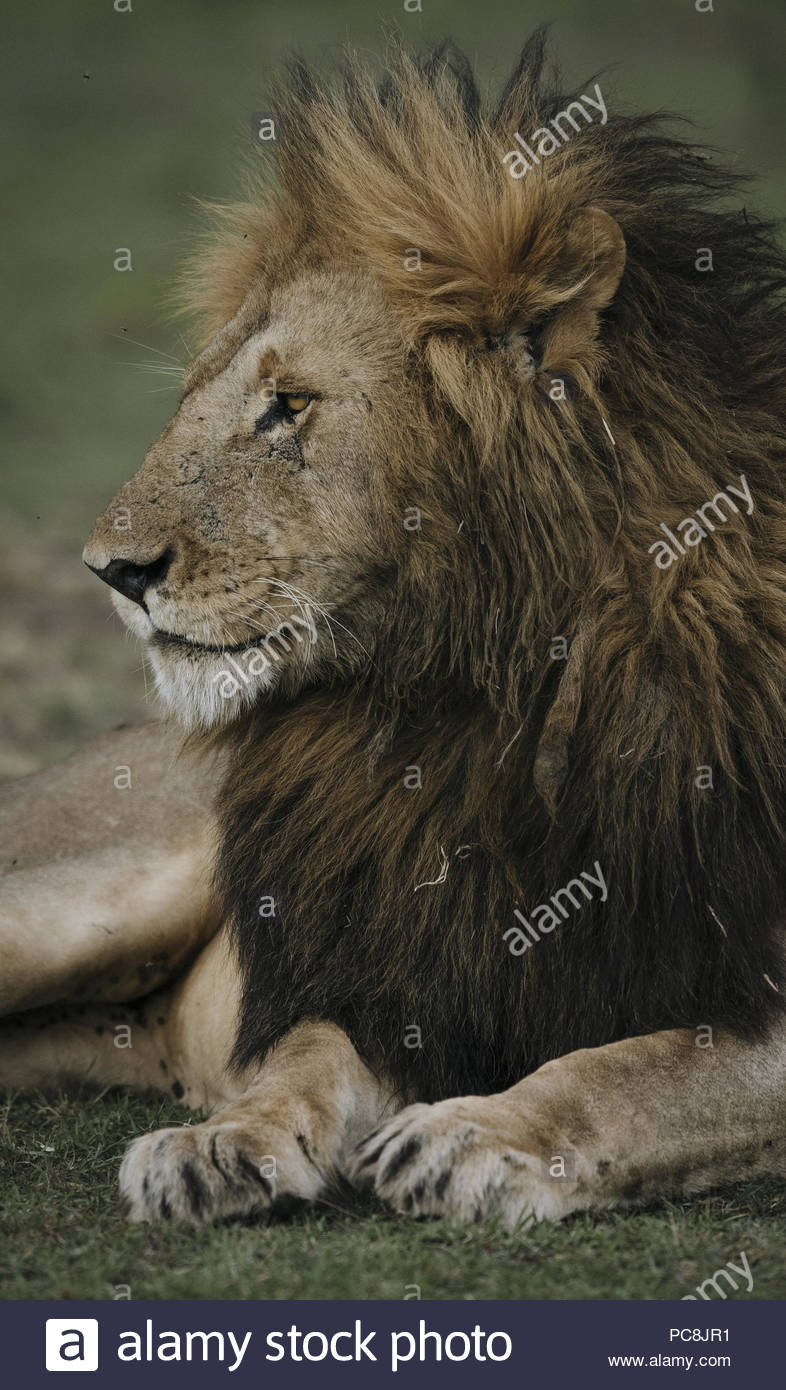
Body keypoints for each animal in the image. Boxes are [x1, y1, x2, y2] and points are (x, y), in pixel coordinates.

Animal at [2, 33, 786, 1228]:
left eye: (290, 404)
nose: (112, 572)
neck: (497, 694)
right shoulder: (387, 963)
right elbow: (305, 1058)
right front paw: (220, 1142)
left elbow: (640, 1068)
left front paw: (481, 1133)